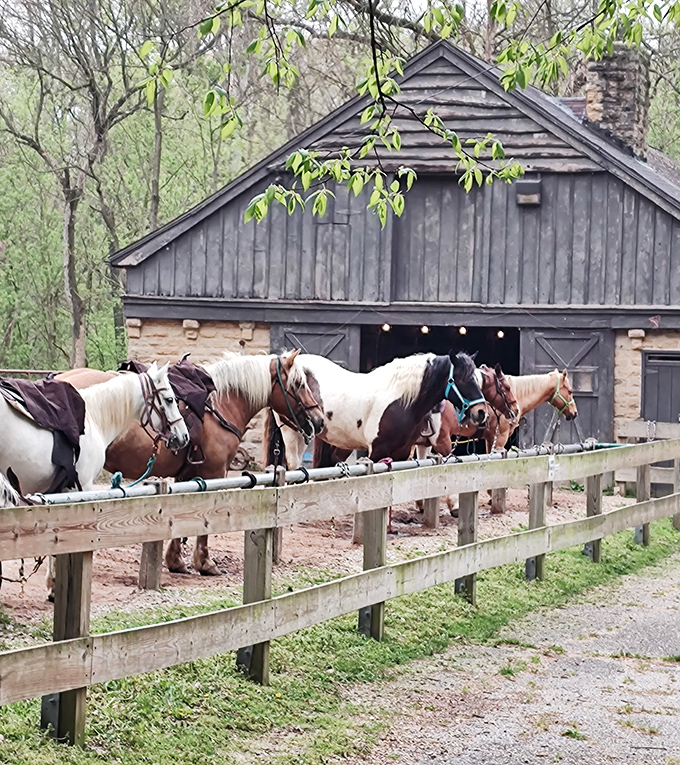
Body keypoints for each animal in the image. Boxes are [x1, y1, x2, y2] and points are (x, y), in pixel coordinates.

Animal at [59, 350, 324, 576]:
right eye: (299, 384)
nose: (319, 419)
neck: (221, 404)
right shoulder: (214, 473)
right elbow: (204, 519)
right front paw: (204, 563)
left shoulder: (187, 476)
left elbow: (181, 517)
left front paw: (175, 560)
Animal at [266, 351, 487, 469]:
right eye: (462, 380)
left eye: (477, 379)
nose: (481, 412)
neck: (401, 400)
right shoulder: (377, 451)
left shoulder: (402, 453)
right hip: (292, 432)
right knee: (294, 464)